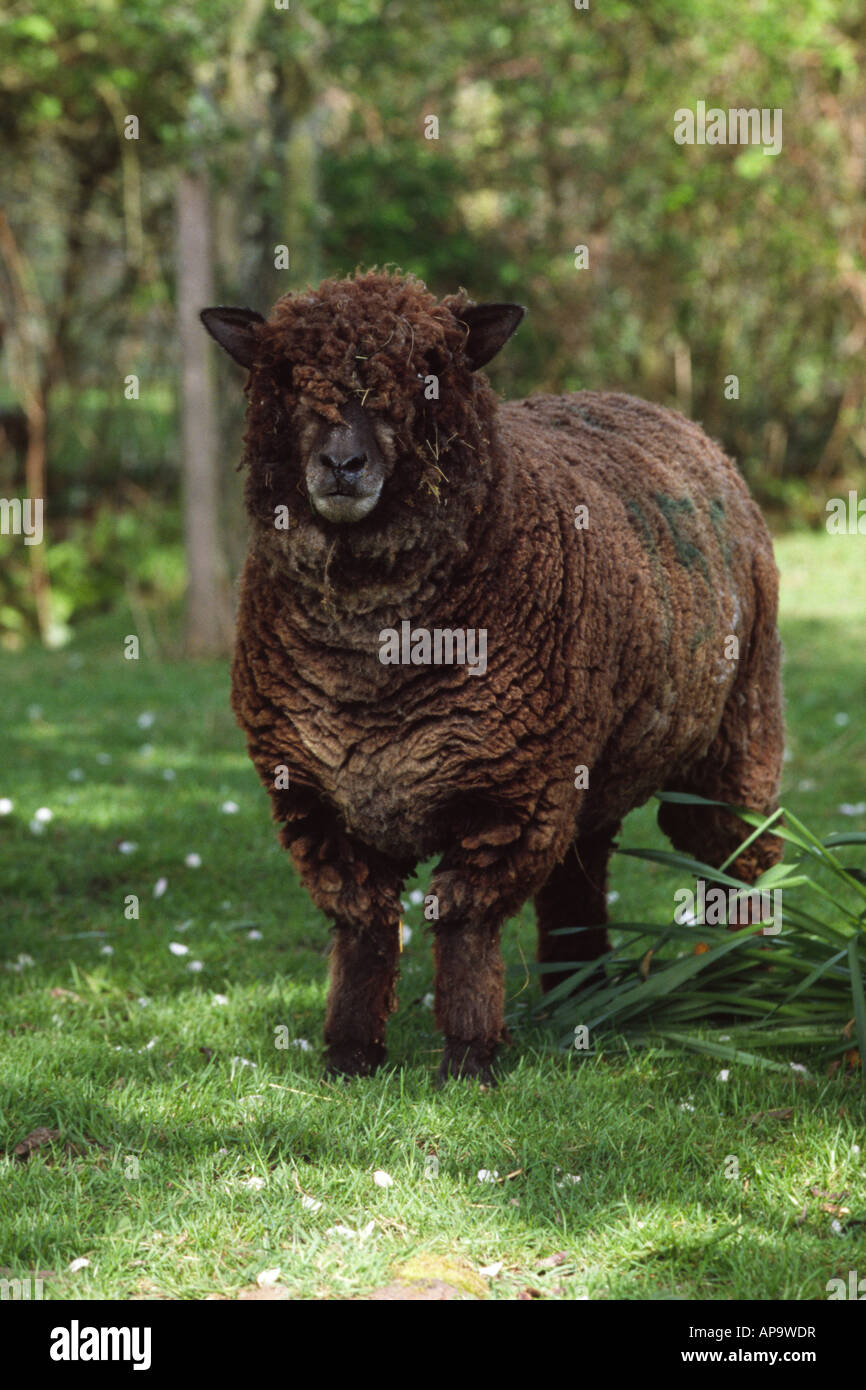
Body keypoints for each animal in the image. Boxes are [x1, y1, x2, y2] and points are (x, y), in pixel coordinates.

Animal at [201, 269, 784, 1083]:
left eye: (428, 377)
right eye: (283, 379)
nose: (342, 466)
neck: (372, 671)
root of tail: (661, 411)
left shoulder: (510, 792)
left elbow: (466, 924)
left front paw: (469, 1059)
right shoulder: (314, 799)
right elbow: (363, 926)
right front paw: (349, 1054)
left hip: (735, 735)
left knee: (735, 862)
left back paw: (737, 988)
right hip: (586, 771)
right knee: (580, 873)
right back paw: (578, 994)